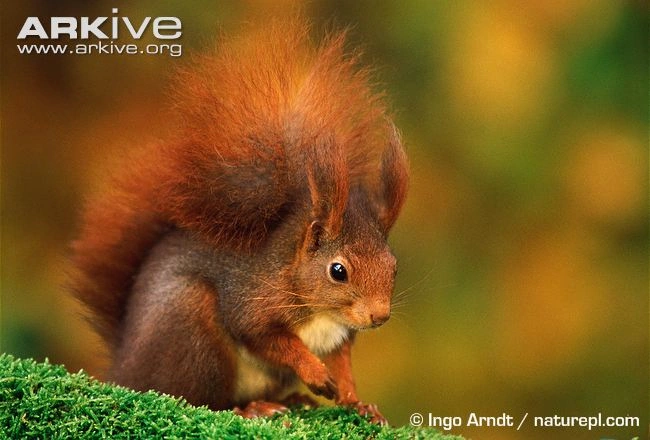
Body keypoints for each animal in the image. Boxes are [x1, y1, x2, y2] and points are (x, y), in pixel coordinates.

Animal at [70, 17, 408, 425]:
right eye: (338, 271)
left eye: (393, 267)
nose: (379, 315)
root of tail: (126, 367)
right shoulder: (249, 301)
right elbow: (270, 340)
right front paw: (313, 372)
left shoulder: (341, 334)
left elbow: (343, 367)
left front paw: (357, 403)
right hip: (193, 333)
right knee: (197, 400)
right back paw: (250, 408)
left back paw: (291, 399)